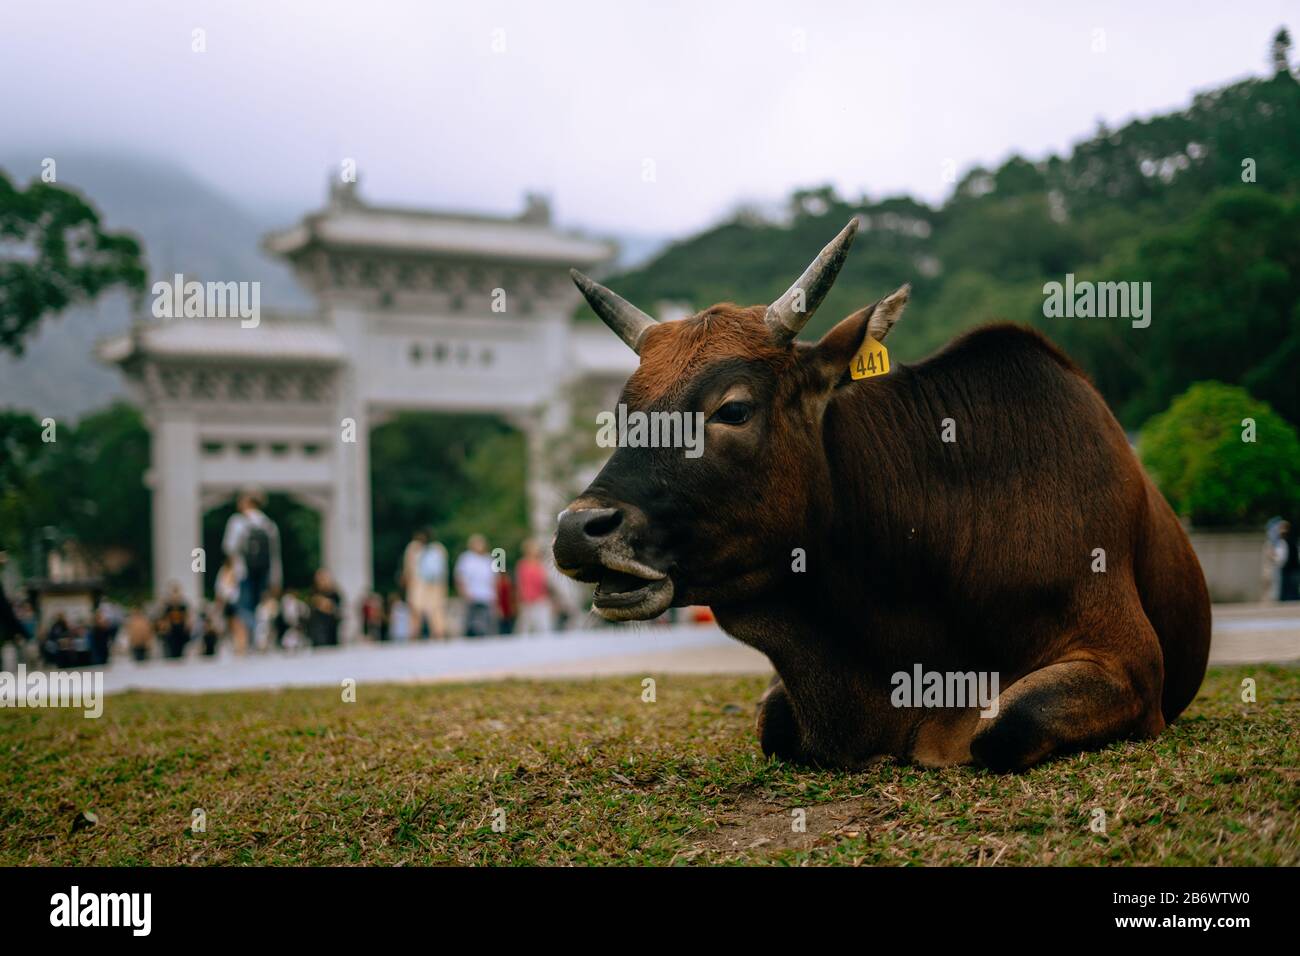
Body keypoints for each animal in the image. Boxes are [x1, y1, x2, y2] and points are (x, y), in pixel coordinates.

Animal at [555, 219, 1211, 771]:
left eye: (733, 409)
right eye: (623, 415)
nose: (575, 529)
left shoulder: (1129, 662)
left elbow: (1008, 725)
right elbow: (772, 721)